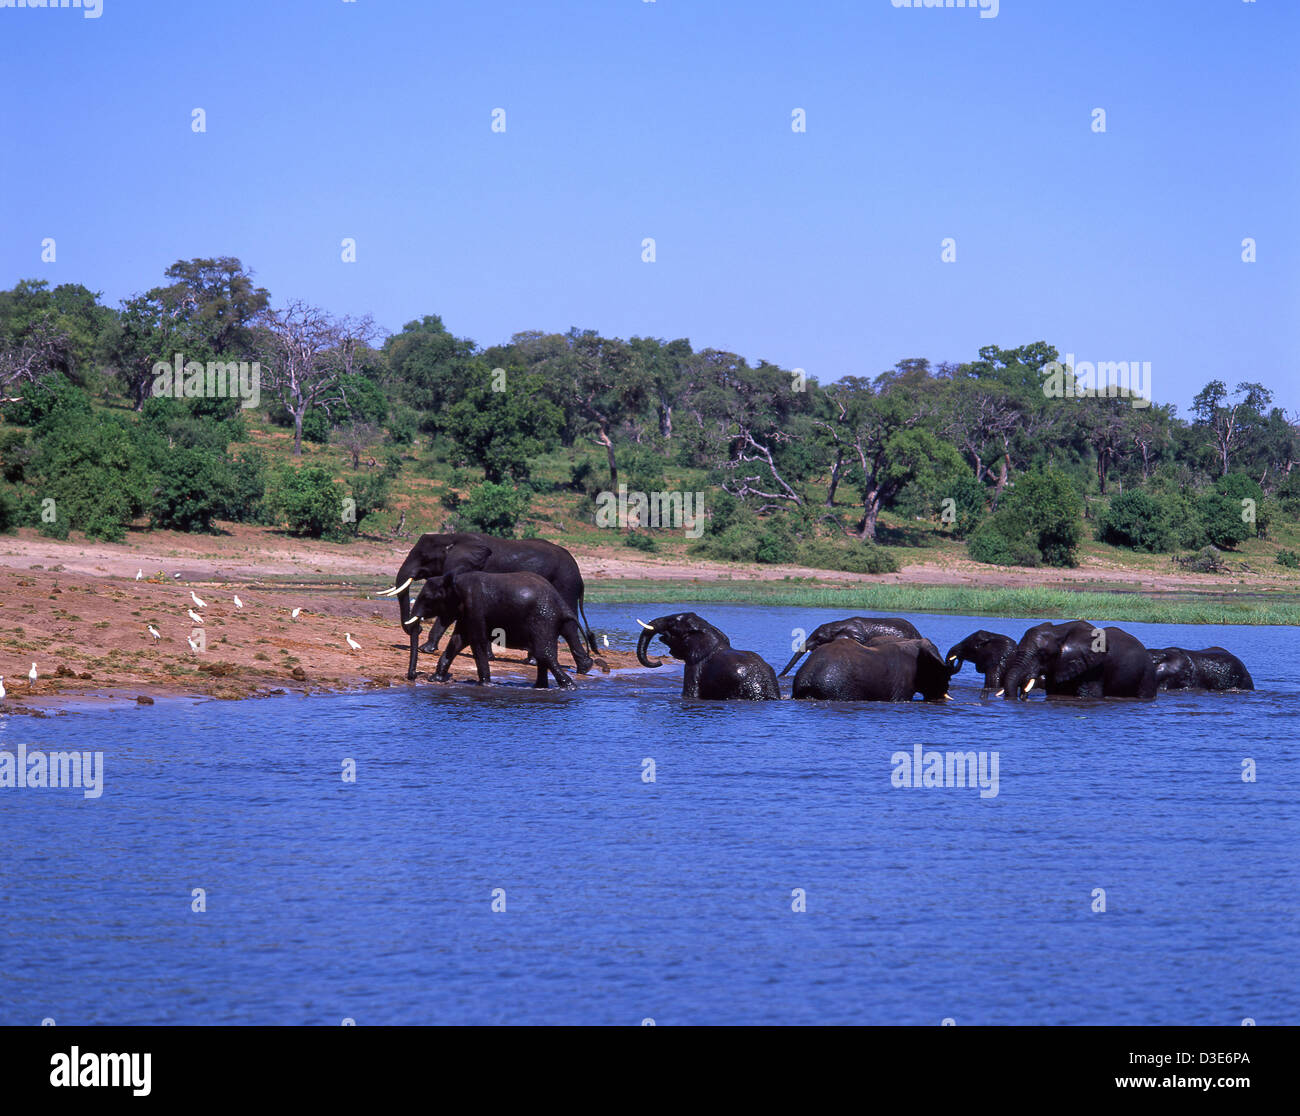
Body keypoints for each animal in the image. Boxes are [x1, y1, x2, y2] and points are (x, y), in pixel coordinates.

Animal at [408, 571, 581, 688]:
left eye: (427, 598)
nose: (413, 676)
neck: (454, 580)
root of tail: (561, 604)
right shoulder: (466, 610)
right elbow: (458, 640)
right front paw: (435, 679)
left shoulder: (474, 604)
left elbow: (476, 640)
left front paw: (485, 684)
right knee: (543, 654)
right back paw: (540, 687)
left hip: (543, 618)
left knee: (544, 653)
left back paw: (569, 686)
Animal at [1000, 620, 1157, 700]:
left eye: (1042, 654)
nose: (1023, 695)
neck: (1059, 631)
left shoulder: (1094, 667)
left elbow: (1089, 695)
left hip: (1147, 672)